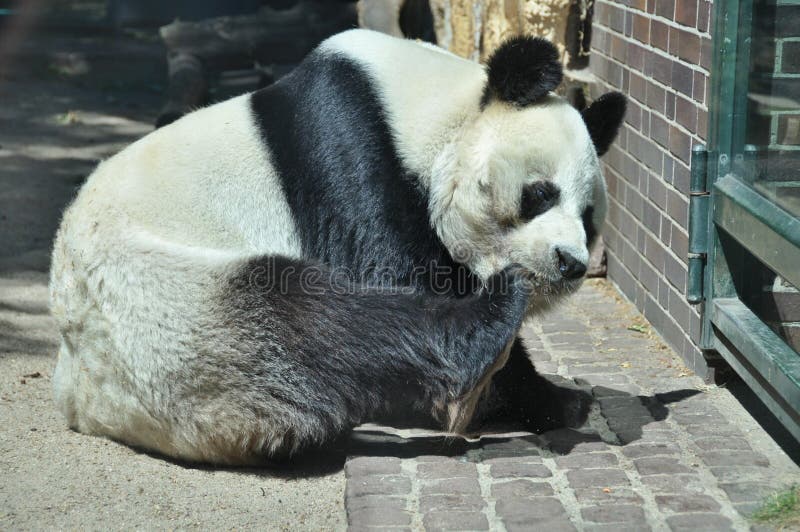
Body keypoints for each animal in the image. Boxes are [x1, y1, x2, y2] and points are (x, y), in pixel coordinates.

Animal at [49, 29, 626, 465]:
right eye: (540, 193)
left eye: (589, 217)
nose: (571, 263)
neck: (427, 108)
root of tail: (81, 398)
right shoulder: (349, 147)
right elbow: (388, 272)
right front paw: (524, 390)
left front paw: (558, 399)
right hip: (168, 310)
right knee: (305, 319)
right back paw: (489, 321)